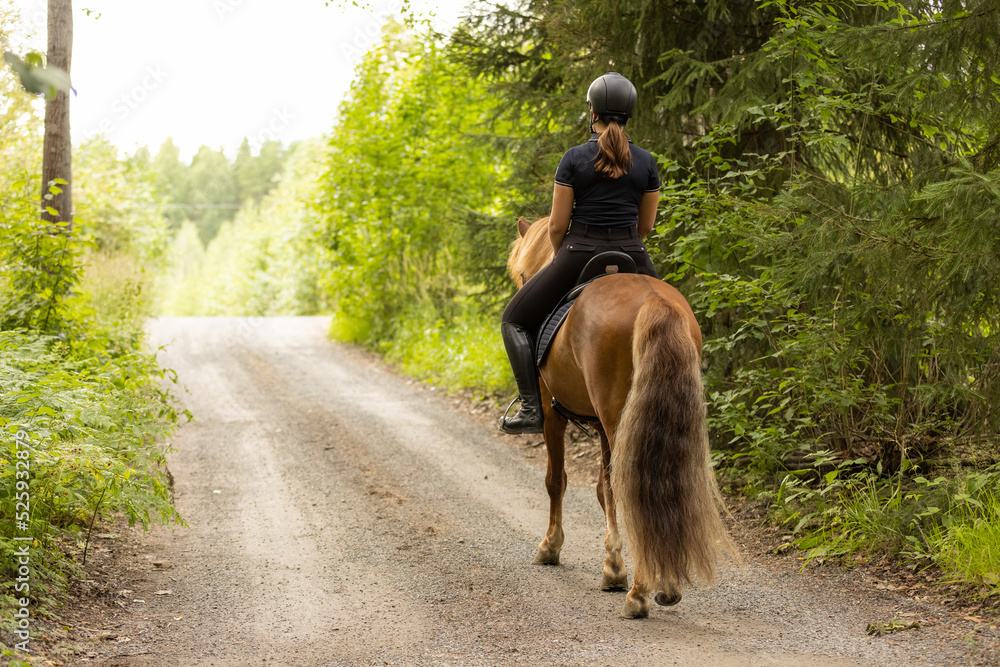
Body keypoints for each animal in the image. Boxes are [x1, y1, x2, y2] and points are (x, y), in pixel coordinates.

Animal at [507, 215, 737, 618]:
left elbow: (557, 481)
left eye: (522, 273)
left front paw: (555, 548)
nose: (522, 280)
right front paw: (612, 565)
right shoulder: (601, 424)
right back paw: (666, 586)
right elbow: (604, 488)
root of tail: (653, 300)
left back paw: (639, 593)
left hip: (612, 419)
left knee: (632, 490)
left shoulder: (552, 412)